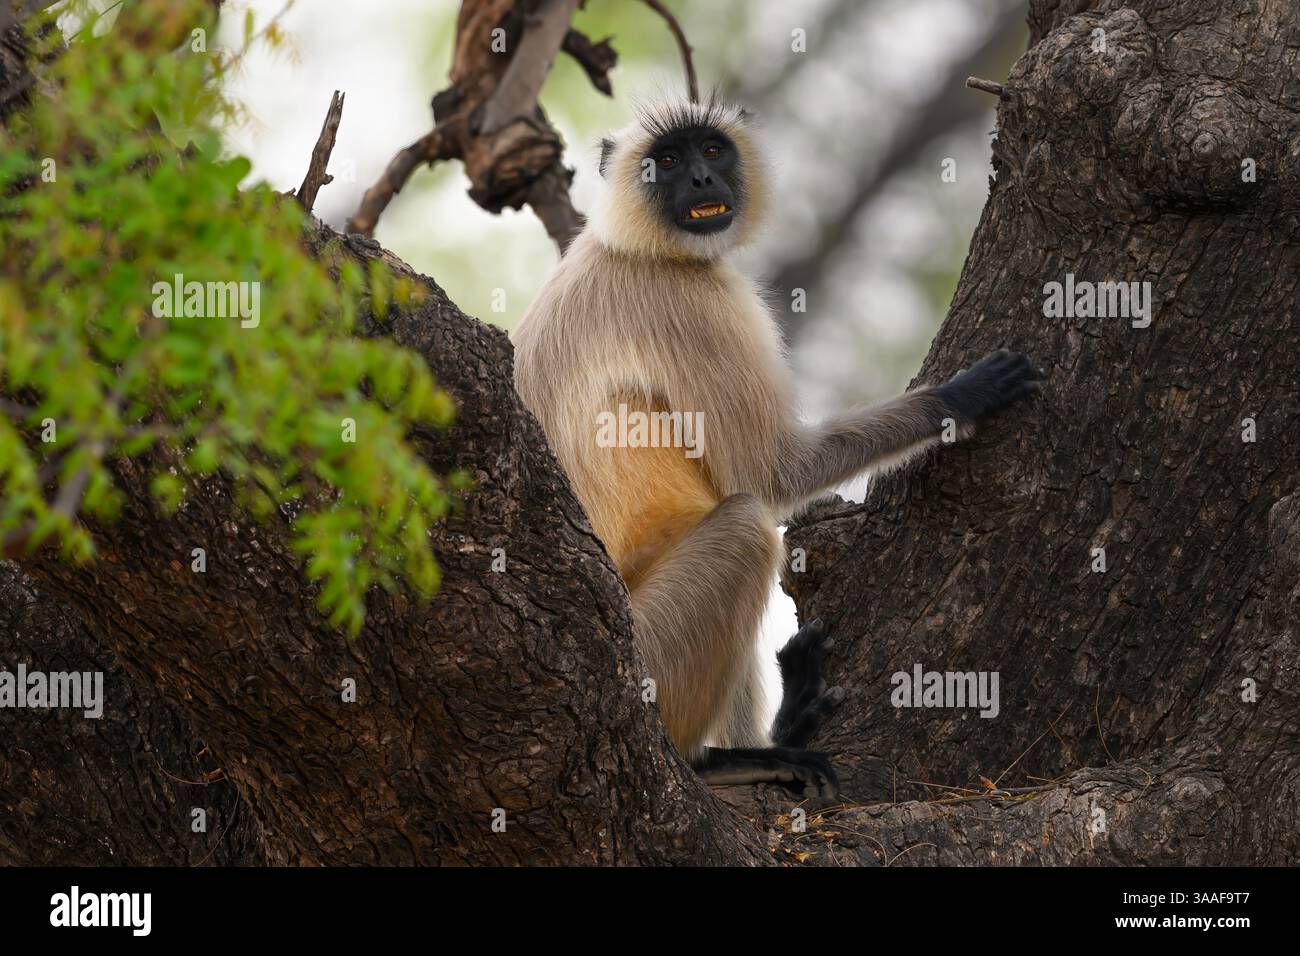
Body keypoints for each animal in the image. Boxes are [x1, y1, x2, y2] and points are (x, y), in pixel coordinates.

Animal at [511, 96, 1041, 799]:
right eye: (667, 160)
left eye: (711, 151)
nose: (701, 180)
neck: (628, 246)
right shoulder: (692, 302)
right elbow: (771, 473)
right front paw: (958, 399)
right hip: (642, 662)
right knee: (746, 525)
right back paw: (714, 760)